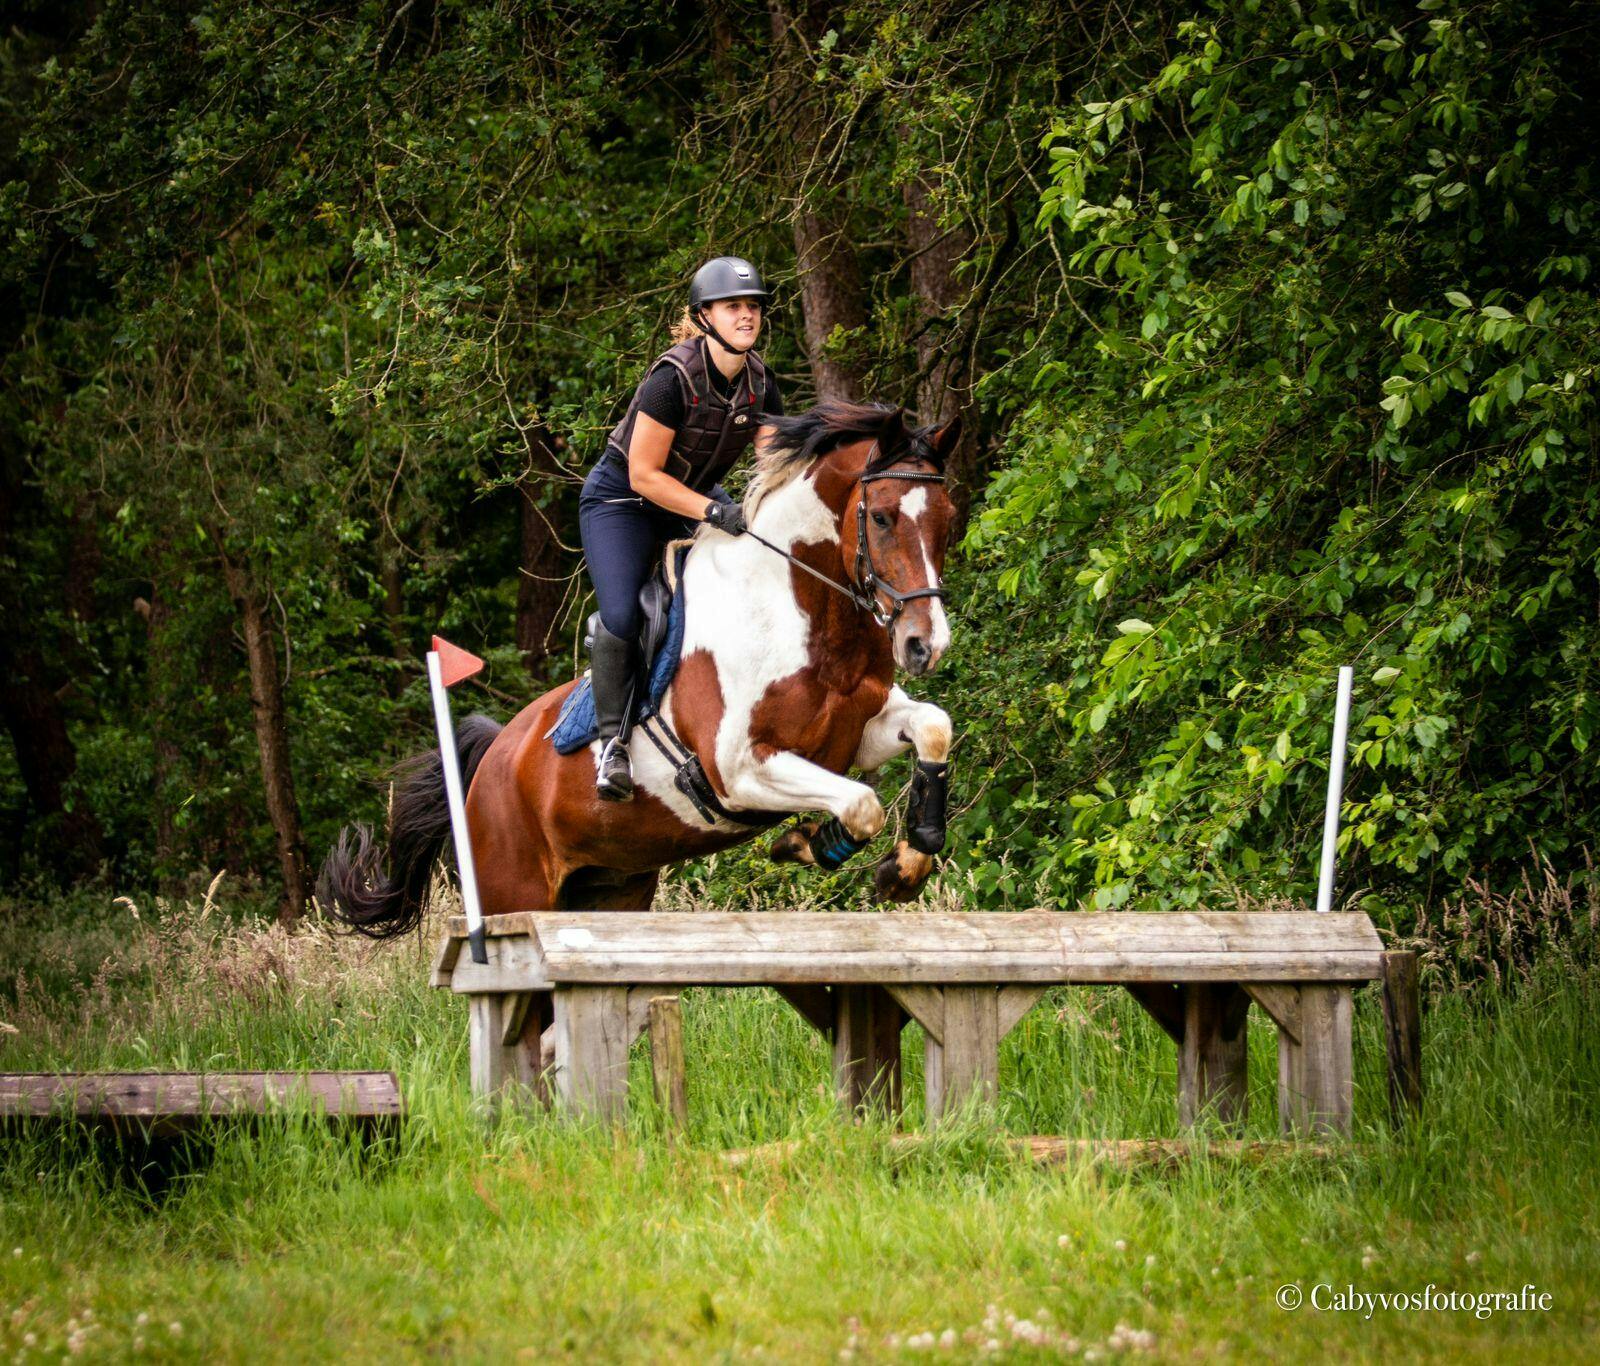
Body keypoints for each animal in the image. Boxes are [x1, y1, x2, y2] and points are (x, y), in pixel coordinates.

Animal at [318, 401, 959, 936]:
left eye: (947, 519)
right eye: (881, 518)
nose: (924, 645)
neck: (804, 610)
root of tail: (494, 756)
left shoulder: (853, 737)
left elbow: (932, 727)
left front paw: (905, 866)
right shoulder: (739, 770)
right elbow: (861, 803)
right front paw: (805, 845)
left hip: (611, 888)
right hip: (514, 893)